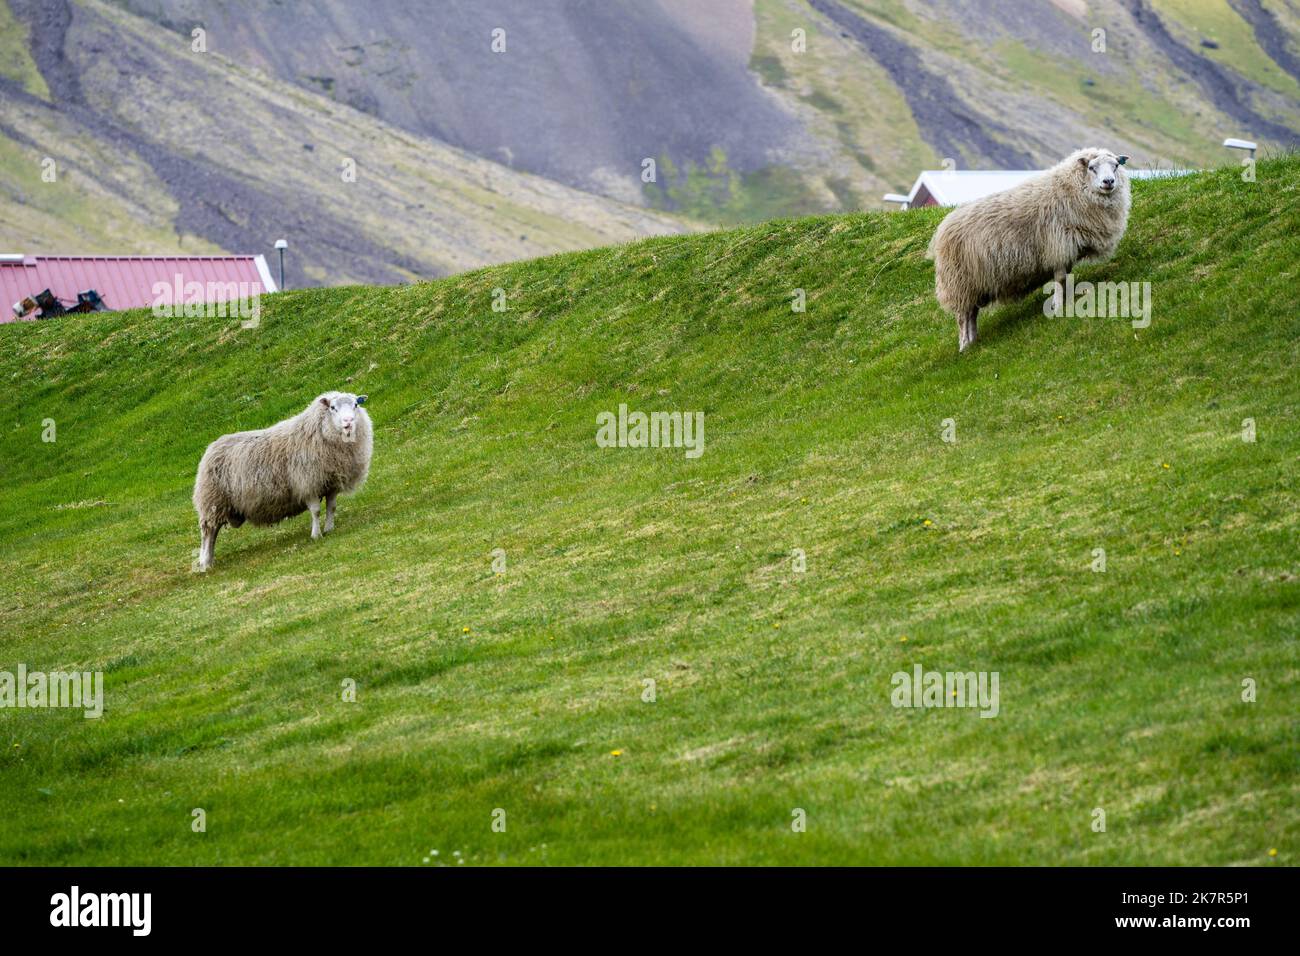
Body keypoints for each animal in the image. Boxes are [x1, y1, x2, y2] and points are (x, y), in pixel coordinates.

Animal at [192, 391, 372, 571]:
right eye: (333, 408)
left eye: (356, 405)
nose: (348, 422)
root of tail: (211, 447)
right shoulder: (307, 484)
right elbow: (315, 511)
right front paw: (316, 535)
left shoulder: (331, 484)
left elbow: (331, 507)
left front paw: (329, 528)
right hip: (212, 502)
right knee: (208, 533)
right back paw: (205, 563)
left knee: (213, 533)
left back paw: (210, 561)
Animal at [929, 147, 1131, 351]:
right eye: (1092, 167)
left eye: (1115, 165)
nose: (1109, 182)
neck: (1071, 189)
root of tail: (942, 230)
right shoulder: (1057, 246)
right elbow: (1060, 279)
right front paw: (1058, 306)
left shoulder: (1066, 249)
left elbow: (1065, 277)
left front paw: (1066, 299)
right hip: (959, 283)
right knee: (962, 317)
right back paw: (965, 346)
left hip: (974, 285)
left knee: (971, 314)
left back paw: (974, 342)